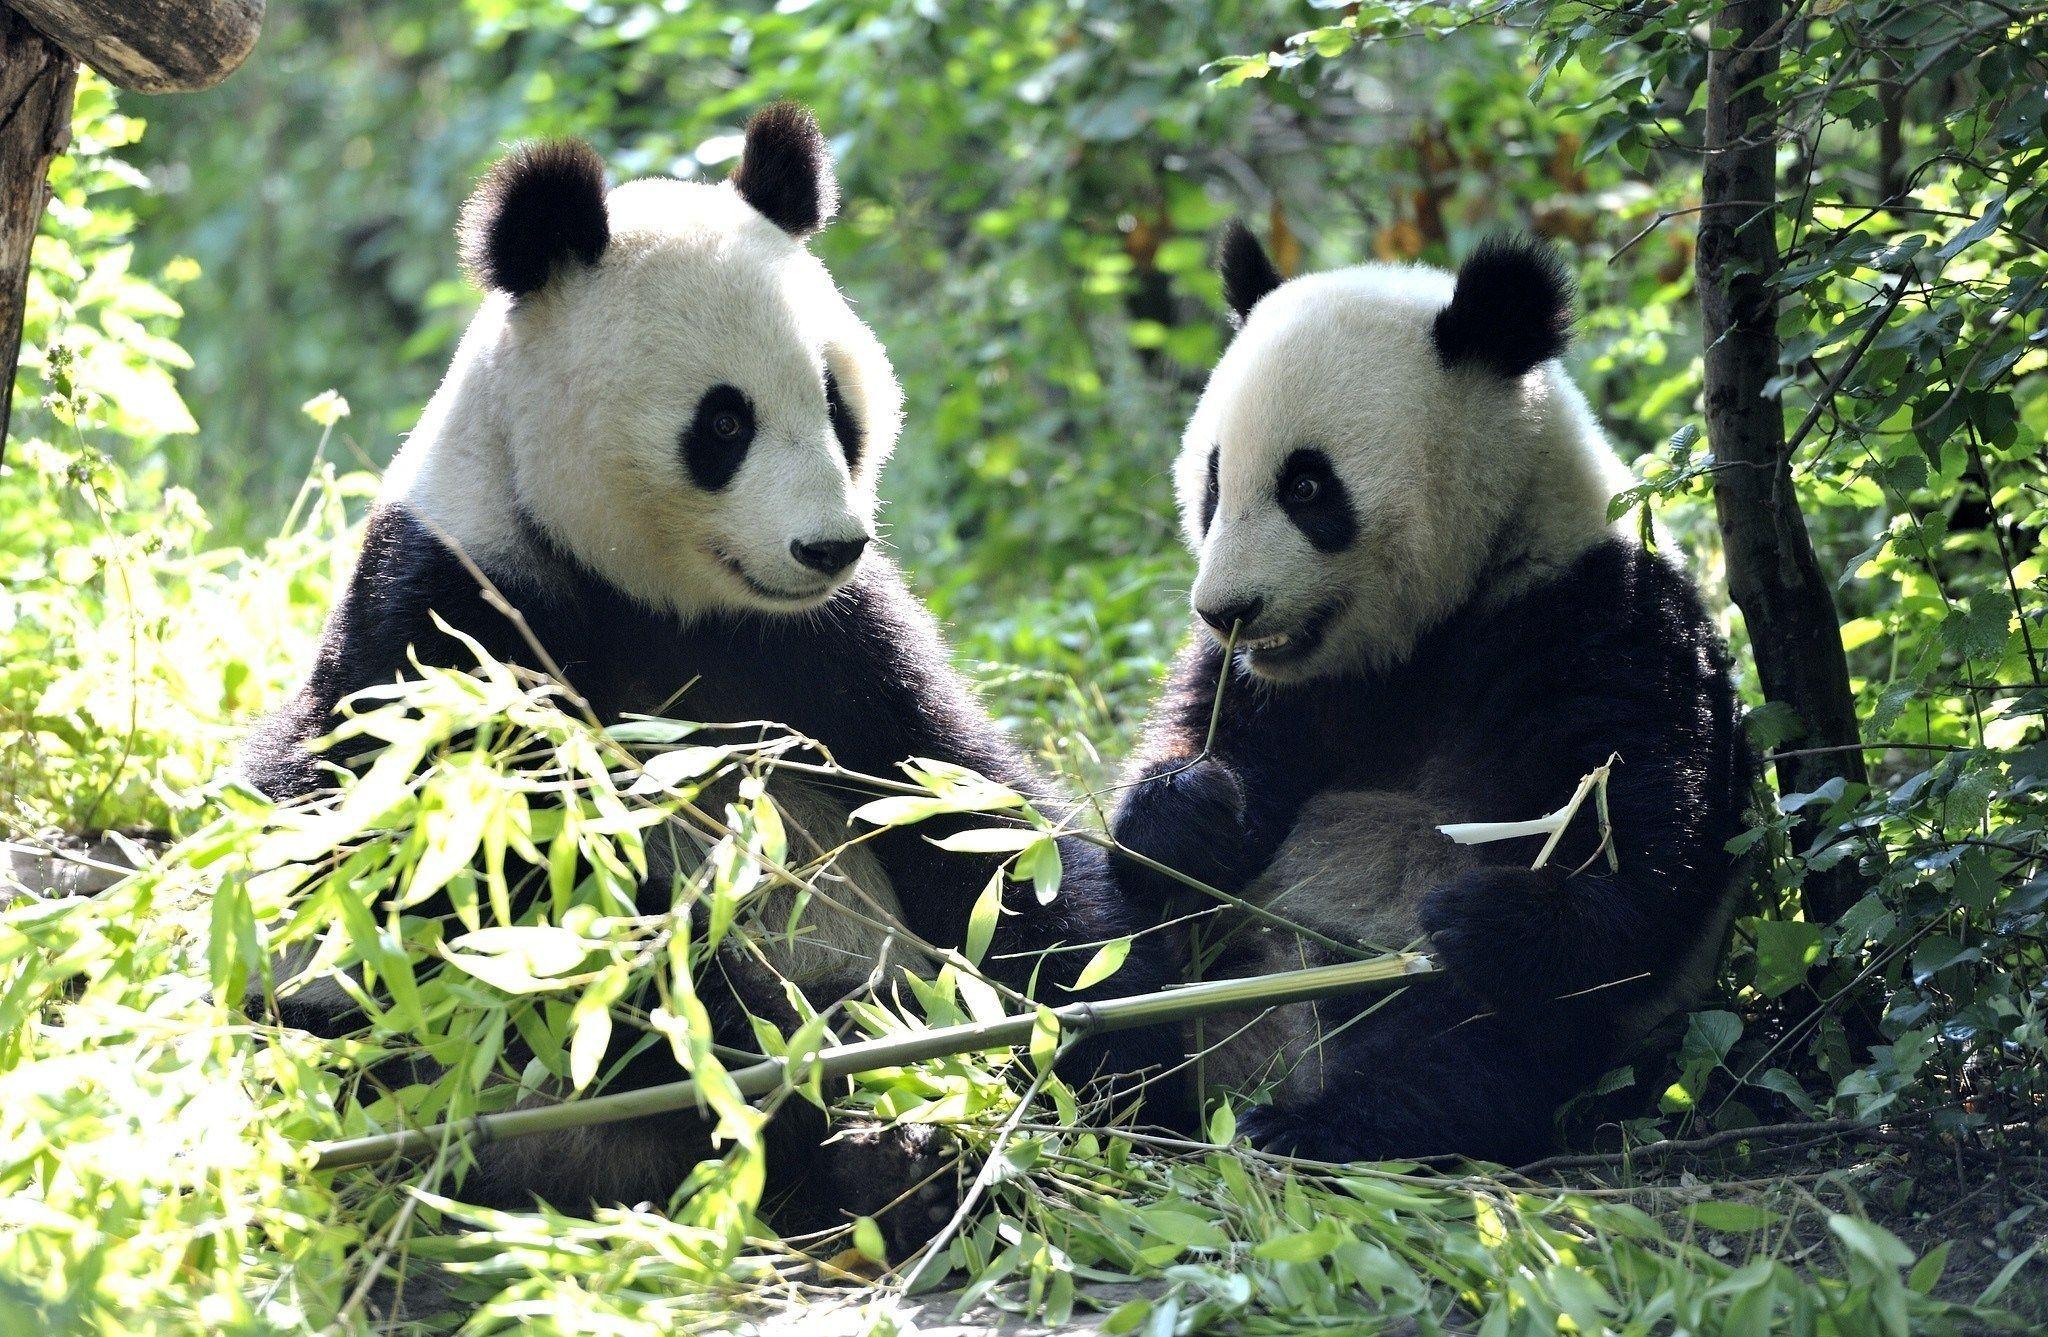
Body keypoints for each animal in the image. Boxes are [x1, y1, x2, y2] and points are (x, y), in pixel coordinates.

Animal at [241, 104, 1175, 1239]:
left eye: (837, 404)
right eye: (724, 421)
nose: (829, 545)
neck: (652, 592)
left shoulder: (829, 646)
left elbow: (968, 815)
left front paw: (1120, 1030)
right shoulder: (456, 625)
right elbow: (503, 902)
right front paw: (845, 1066)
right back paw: (885, 1155)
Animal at [1110, 225, 1754, 1166]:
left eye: (1307, 486)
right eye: (1214, 481)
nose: (1225, 609)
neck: (1431, 625)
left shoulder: (1594, 617)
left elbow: (1644, 835)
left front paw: (1489, 918)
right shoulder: (1287, 687)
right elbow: (1204, 747)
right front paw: (1187, 810)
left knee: (1471, 1048)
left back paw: (1324, 1121)